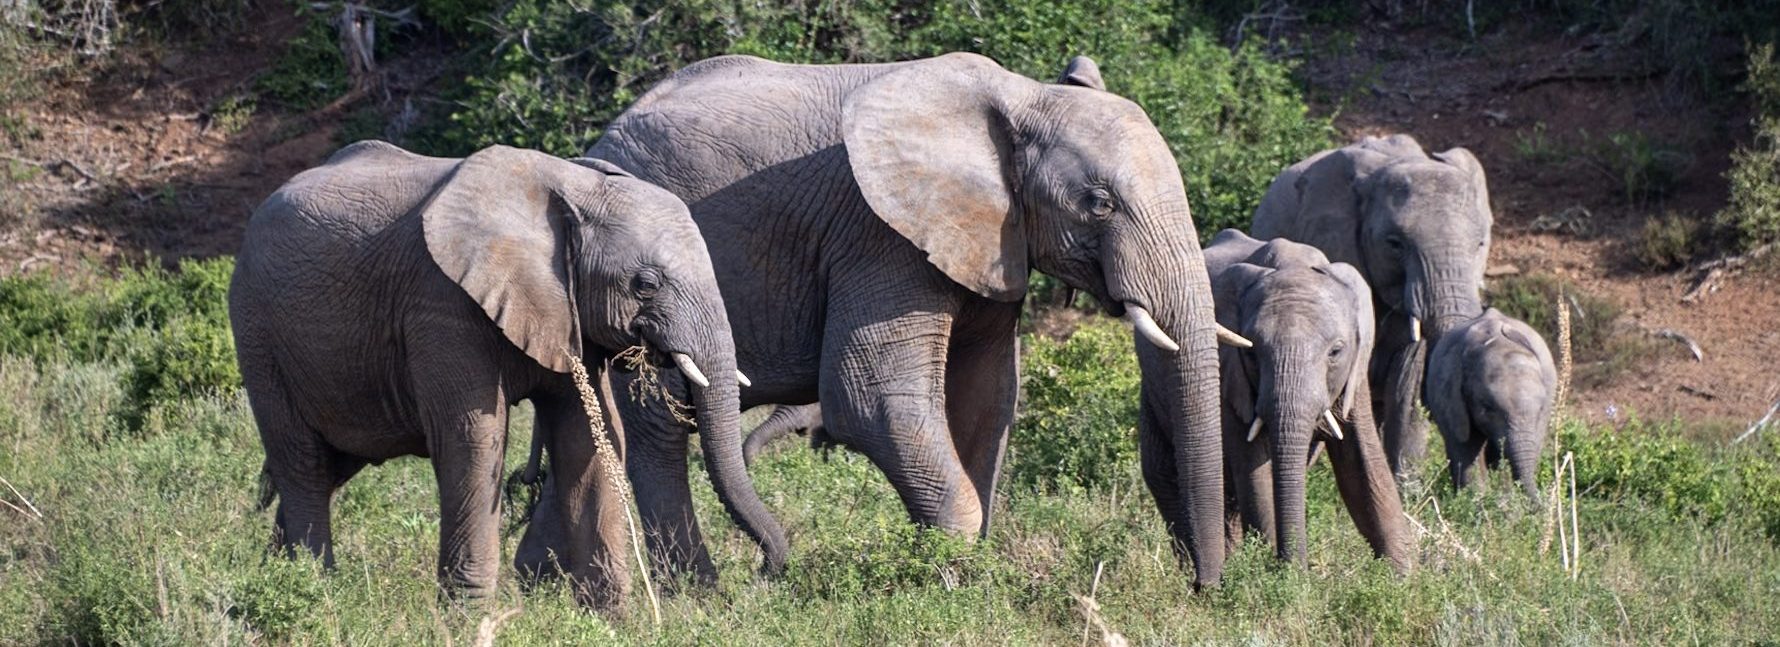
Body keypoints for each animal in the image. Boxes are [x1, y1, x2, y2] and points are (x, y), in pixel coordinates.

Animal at [229, 141, 786, 609]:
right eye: (645, 284)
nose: (766, 572)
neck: (568, 189)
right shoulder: (441, 302)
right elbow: (474, 439)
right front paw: (465, 618)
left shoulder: (567, 314)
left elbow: (590, 438)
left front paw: (611, 618)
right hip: (257, 333)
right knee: (301, 462)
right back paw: (313, 589)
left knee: (329, 466)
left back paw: (279, 580)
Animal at [518, 53, 1245, 589]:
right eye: (1099, 203)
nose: (1204, 587)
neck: (1018, 97)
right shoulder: (878, 234)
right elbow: (870, 397)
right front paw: (948, 581)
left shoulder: (986, 241)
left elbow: (984, 401)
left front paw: (967, 576)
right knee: (657, 423)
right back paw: (695, 593)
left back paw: (543, 586)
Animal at [1205, 230, 1411, 571]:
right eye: (1251, 352)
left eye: (1336, 351)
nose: (1300, 568)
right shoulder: (1231, 376)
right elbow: (1255, 476)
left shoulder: (1354, 374)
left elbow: (1364, 469)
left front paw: (1401, 577)